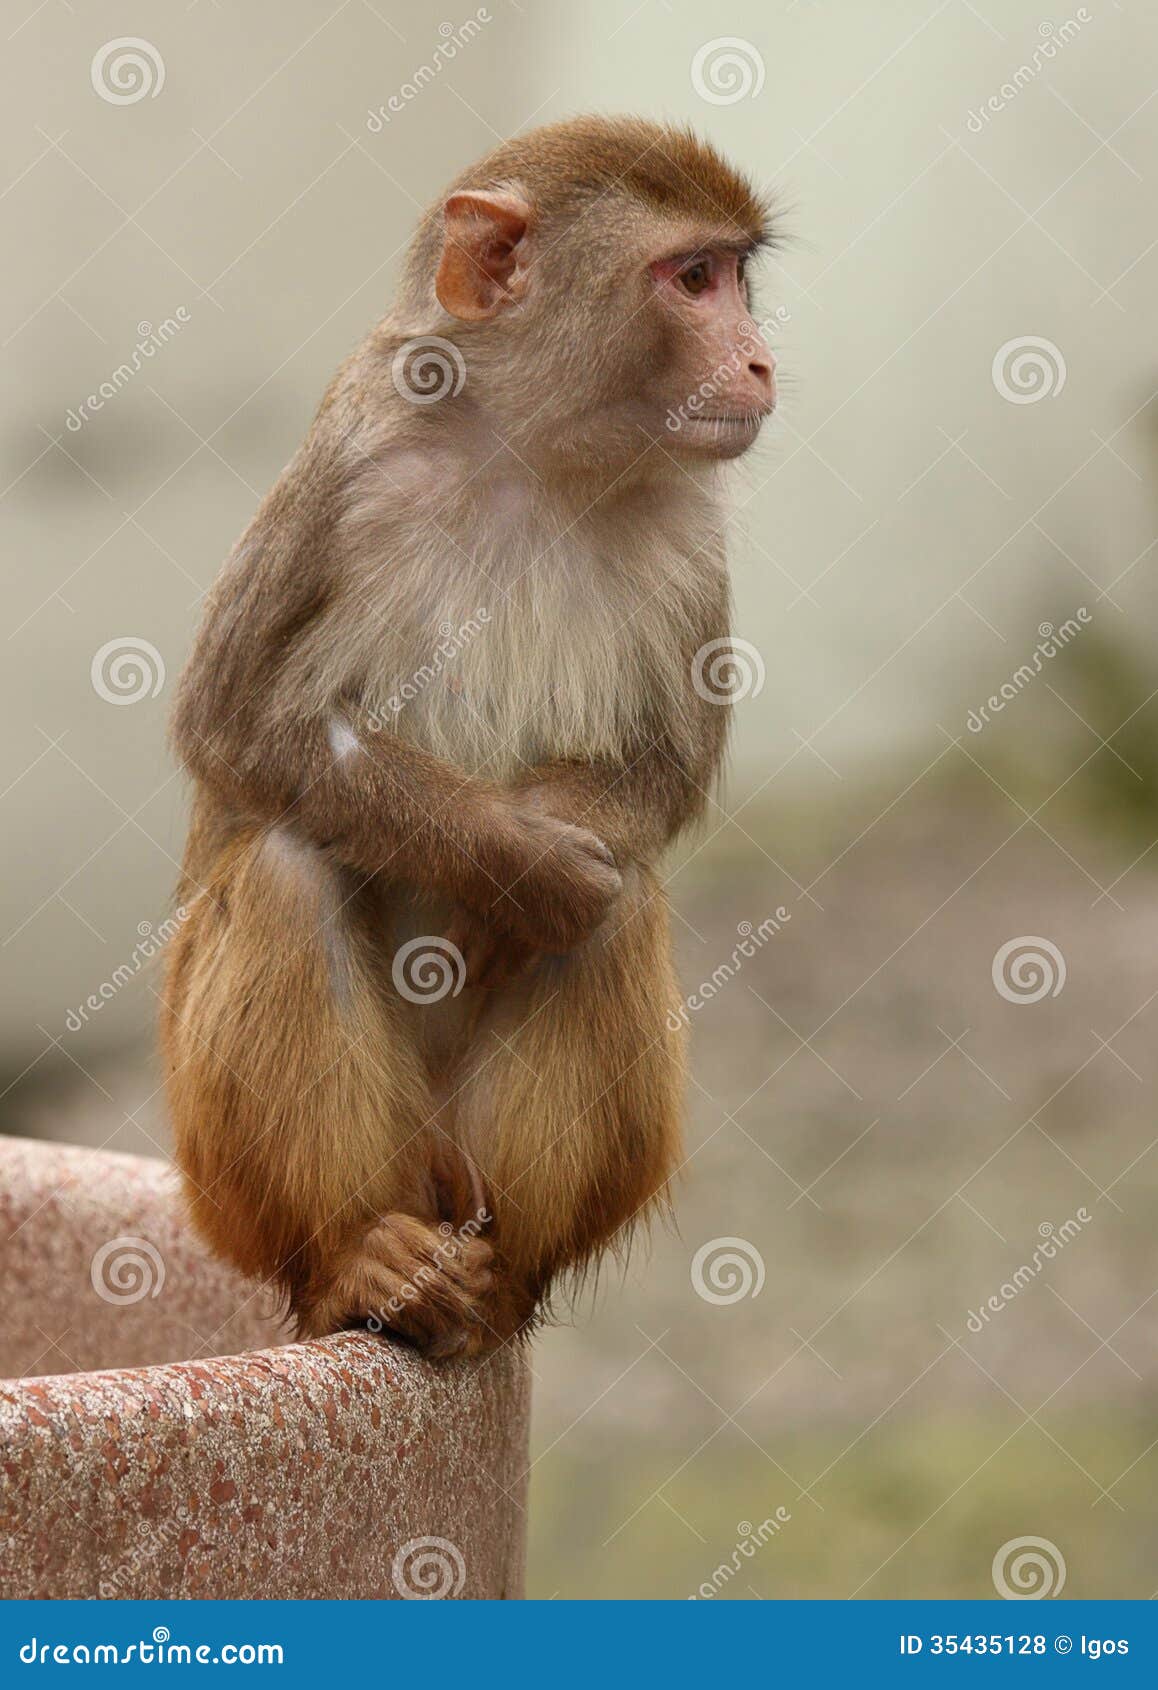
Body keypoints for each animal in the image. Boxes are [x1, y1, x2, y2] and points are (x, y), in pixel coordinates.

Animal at [160, 115, 777, 1358]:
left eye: (738, 276)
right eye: (693, 278)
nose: (760, 363)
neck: (531, 453)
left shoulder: (691, 524)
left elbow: (662, 773)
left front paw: (530, 872)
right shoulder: (350, 471)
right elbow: (235, 718)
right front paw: (513, 863)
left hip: (474, 1168)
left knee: (618, 898)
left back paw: (501, 1280)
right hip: (225, 1184)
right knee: (290, 870)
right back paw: (360, 1260)